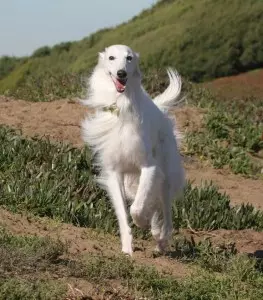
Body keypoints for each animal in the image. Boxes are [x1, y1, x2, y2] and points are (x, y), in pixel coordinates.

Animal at [82, 44, 186, 255]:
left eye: (129, 58)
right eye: (111, 58)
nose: (121, 73)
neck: (121, 105)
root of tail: (160, 110)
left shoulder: (149, 168)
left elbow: (136, 209)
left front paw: (143, 223)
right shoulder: (114, 173)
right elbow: (123, 214)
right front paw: (127, 248)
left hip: (165, 177)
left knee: (165, 212)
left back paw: (161, 240)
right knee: (154, 206)